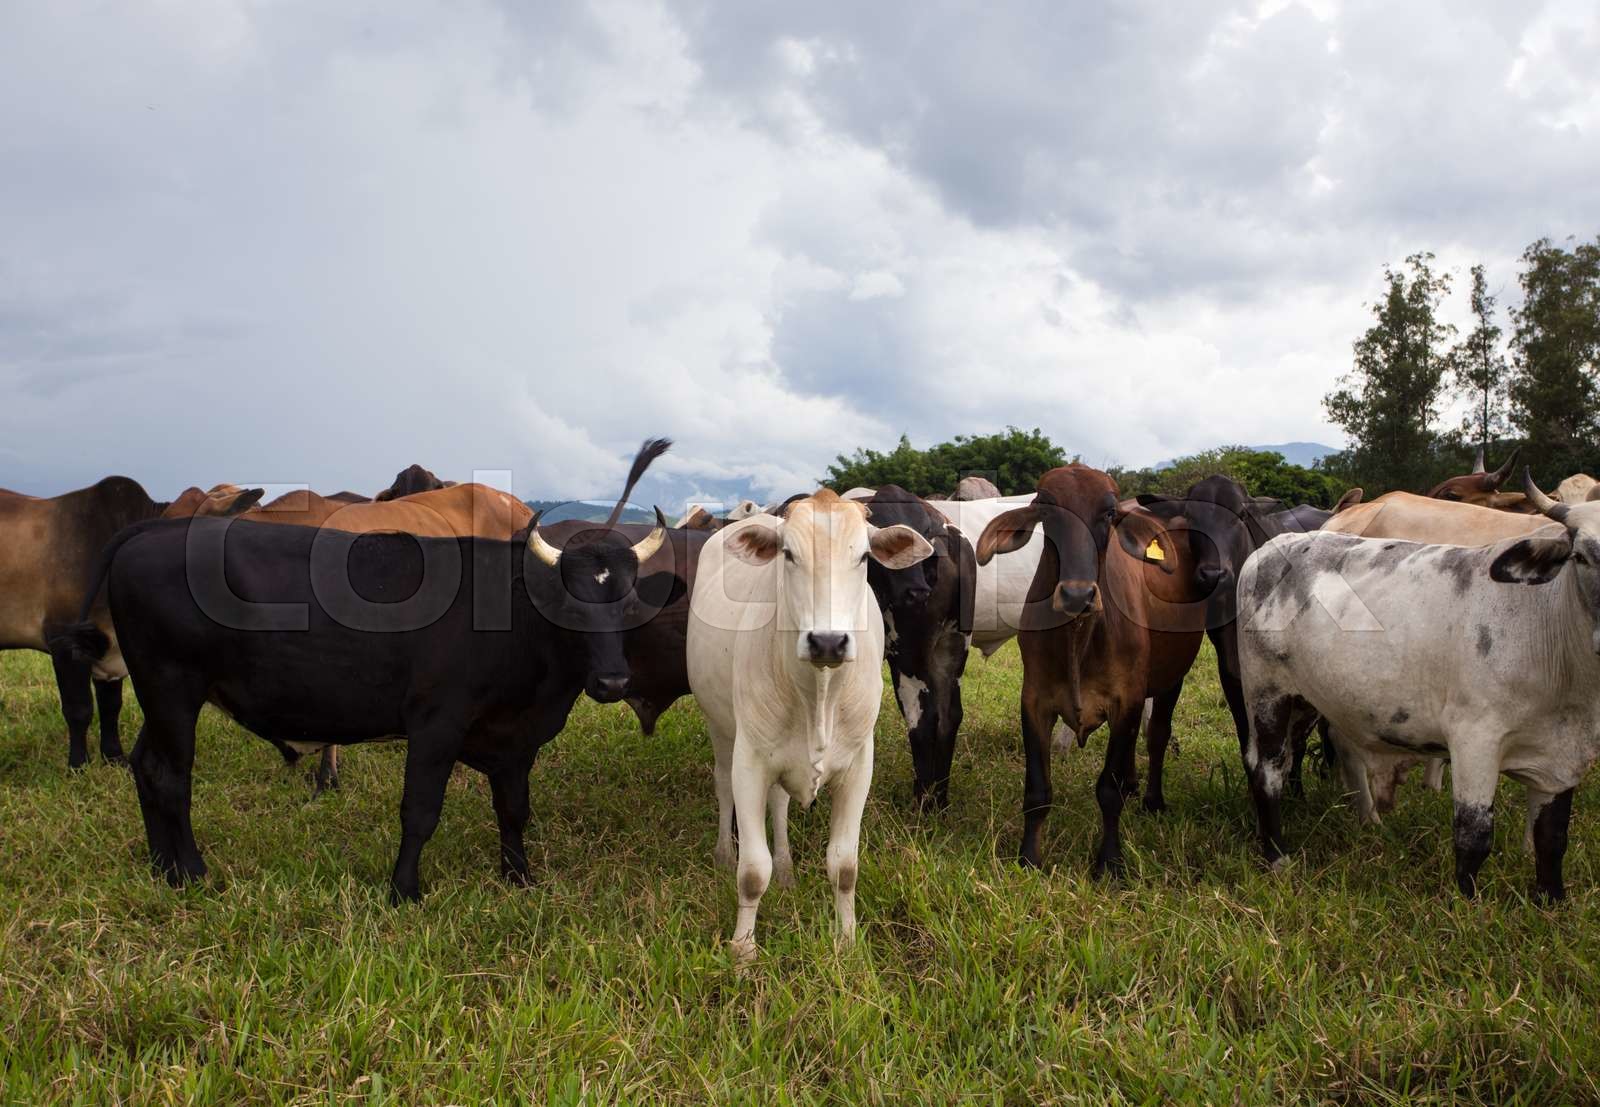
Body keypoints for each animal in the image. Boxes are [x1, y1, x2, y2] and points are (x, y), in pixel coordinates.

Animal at [1, 477, 261, 767]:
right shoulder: (64, 641)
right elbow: (78, 709)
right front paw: (78, 764)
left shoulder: (111, 650)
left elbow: (110, 706)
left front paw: (114, 757)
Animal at [49, 439, 681, 902]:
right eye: (569, 604)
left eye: (628, 603)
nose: (613, 682)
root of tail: (153, 531)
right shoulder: (435, 723)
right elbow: (420, 810)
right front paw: (404, 891)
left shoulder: (514, 740)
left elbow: (514, 809)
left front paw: (519, 879)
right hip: (172, 688)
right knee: (170, 777)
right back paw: (194, 872)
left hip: (161, 695)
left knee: (144, 765)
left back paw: (163, 869)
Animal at [687, 490, 932, 960]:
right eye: (788, 554)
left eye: (864, 556)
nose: (828, 641)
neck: (819, 694)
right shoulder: (750, 762)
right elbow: (752, 872)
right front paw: (743, 950)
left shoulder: (859, 766)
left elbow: (844, 865)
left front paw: (847, 940)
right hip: (721, 729)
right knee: (723, 786)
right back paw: (724, 853)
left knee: (780, 805)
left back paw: (786, 868)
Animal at [976, 465, 1203, 871]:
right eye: (1046, 508)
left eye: (1109, 513)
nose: (1077, 595)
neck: (1079, 635)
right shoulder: (1034, 700)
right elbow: (1037, 789)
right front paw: (1028, 858)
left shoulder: (1126, 701)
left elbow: (1108, 791)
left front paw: (1110, 862)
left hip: (1170, 680)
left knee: (1157, 736)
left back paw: (1151, 799)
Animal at [1237, 471, 1600, 902]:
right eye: (1582, 556)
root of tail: (1270, 548)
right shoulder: (1475, 740)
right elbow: (1474, 836)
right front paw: (1467, 905)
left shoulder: (1561, 760)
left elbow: (1551, 839)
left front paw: (1550, 901)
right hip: (1266, 691)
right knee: (1267, 769)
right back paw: (1277, 857)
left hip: (1315, 699)